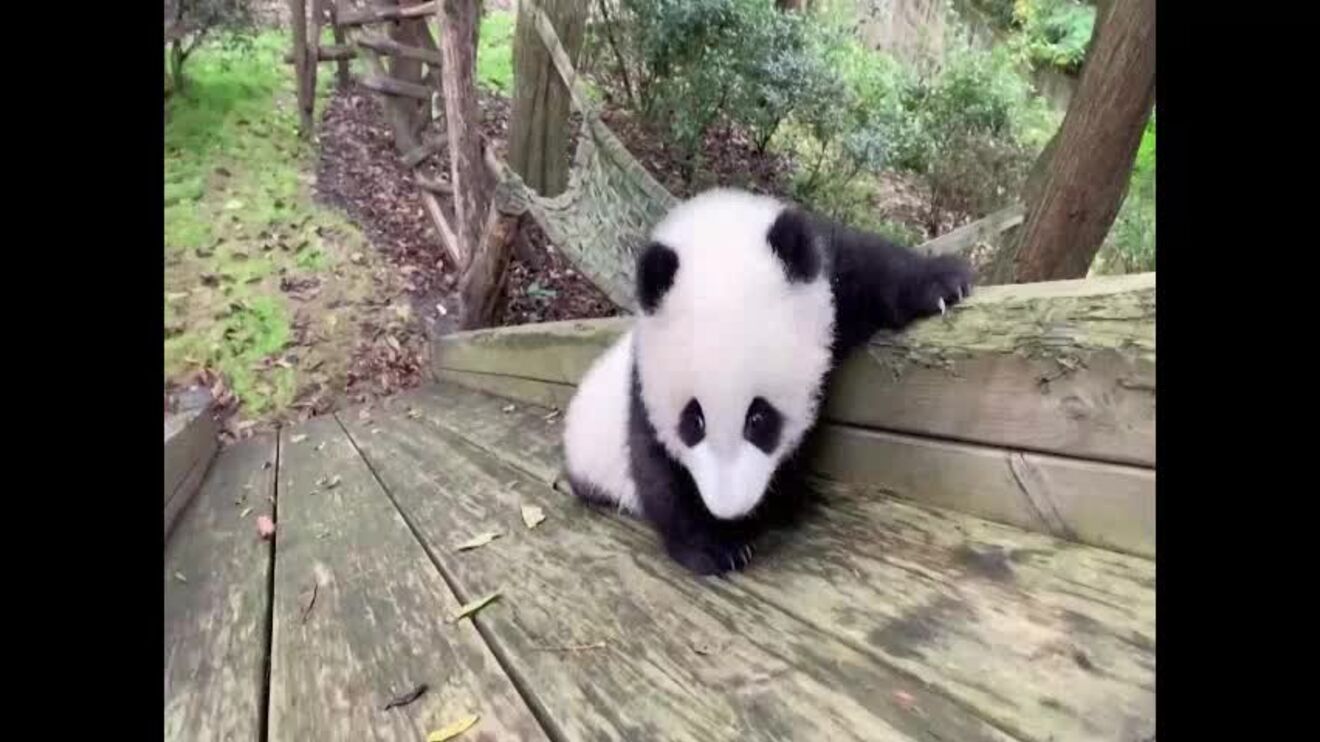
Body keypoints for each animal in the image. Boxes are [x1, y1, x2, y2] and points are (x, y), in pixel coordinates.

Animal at [563, 188, 971, 575]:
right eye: (693, 422)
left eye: (759, 418)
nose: (729, 509)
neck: (718, 231)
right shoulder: (643, 384)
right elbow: (657, 470)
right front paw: (714, 546)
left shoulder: (826, 283)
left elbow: (869, 269)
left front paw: (942, 284)